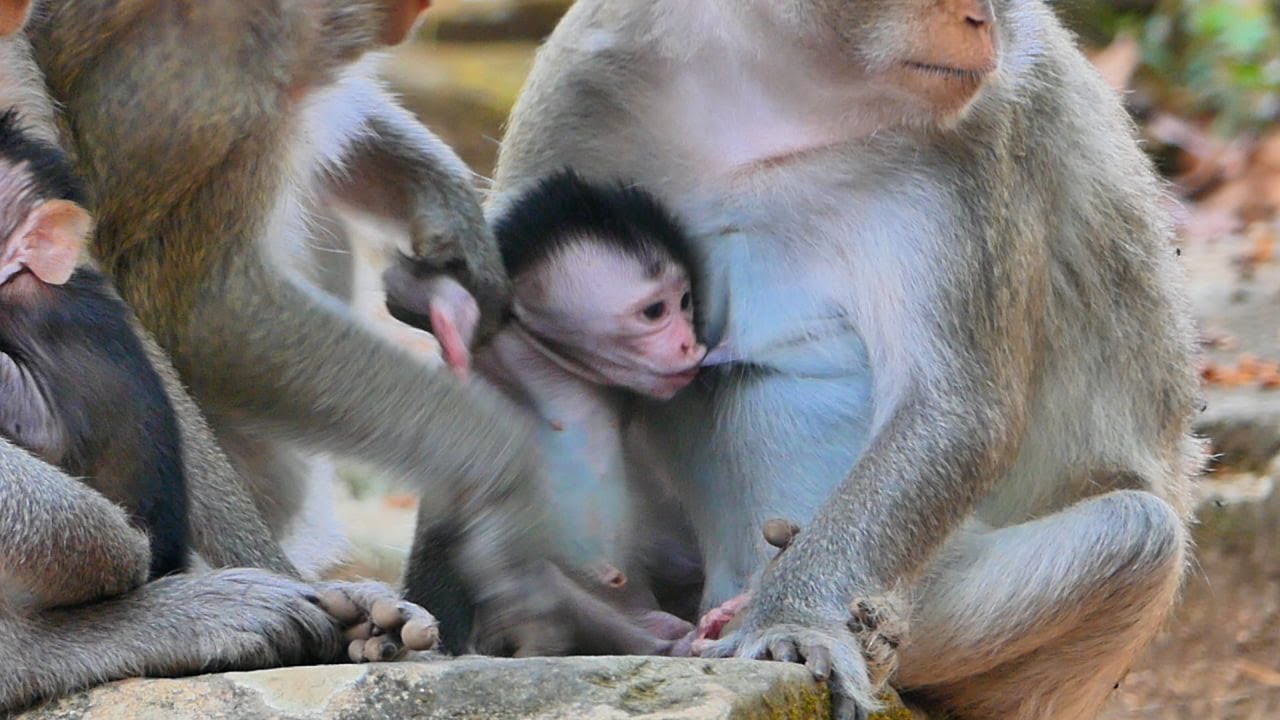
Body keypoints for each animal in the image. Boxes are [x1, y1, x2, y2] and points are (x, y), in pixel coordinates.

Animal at [492, 1, 1203, 718]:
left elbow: (955, 410)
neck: (765, 98)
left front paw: (793, 620)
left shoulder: (967, 143)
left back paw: (865, 637)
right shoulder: (578, 91)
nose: (982, 19)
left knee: (1137, 534)